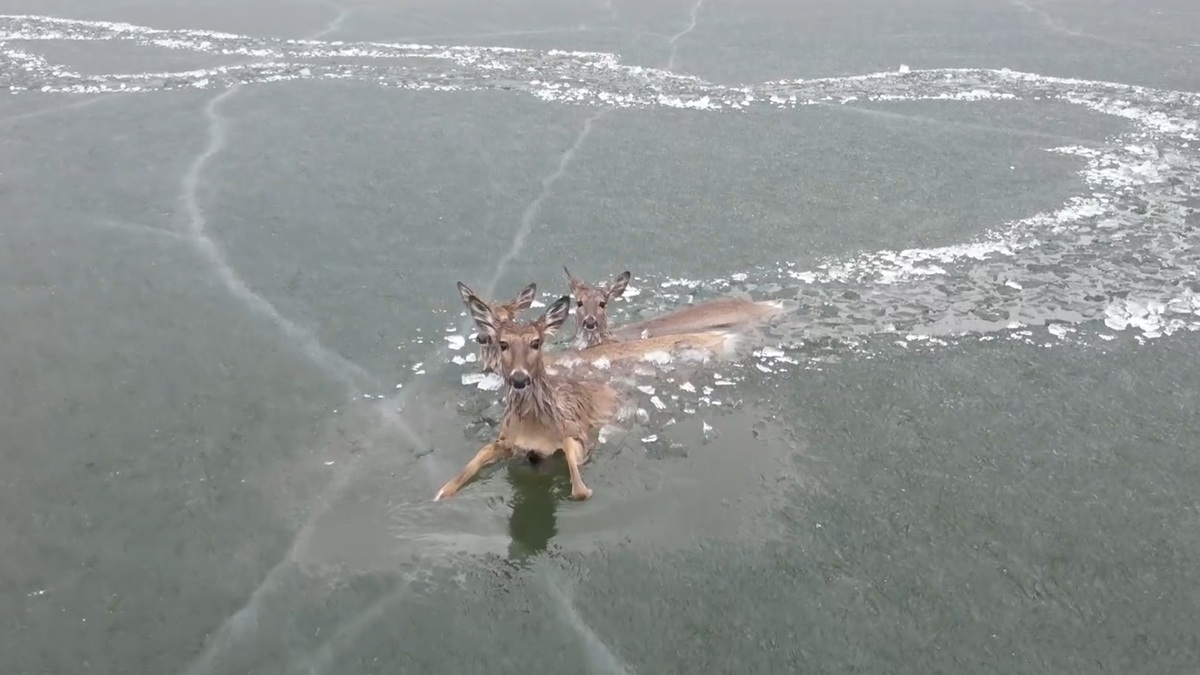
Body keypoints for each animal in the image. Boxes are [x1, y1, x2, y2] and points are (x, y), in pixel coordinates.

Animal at [434, 292, 621, 502]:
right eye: (503, 343)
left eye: (536, 342)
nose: (519, 378)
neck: (531, 430)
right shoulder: (507, 439)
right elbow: (483, 451)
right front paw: (443, 491)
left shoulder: (578, 435)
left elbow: (579, 488)